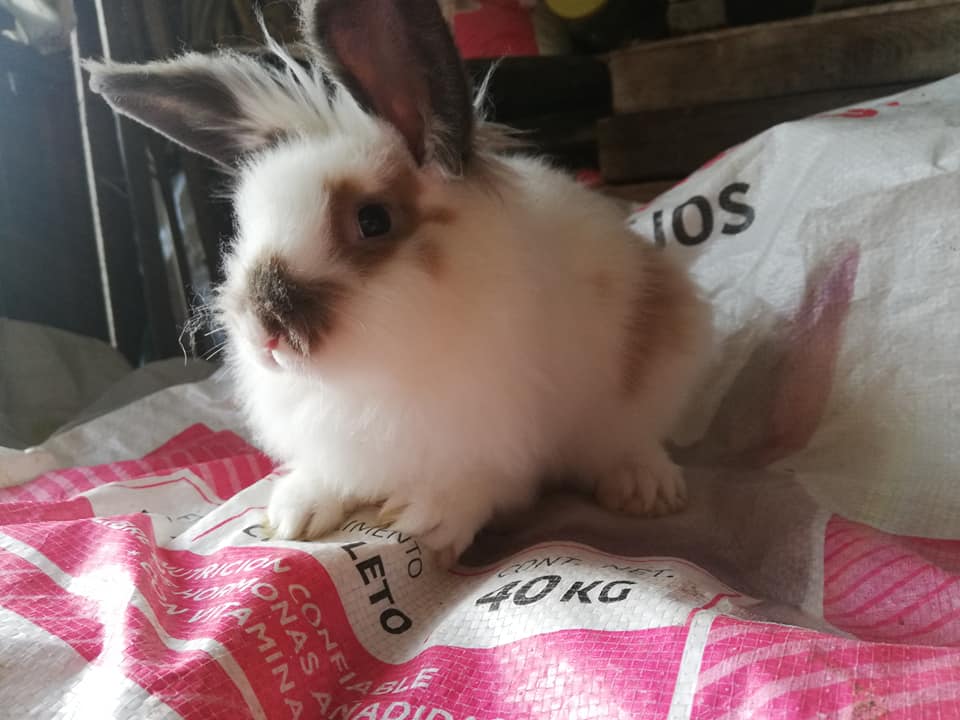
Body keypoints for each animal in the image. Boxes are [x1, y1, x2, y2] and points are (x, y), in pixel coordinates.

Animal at [85, 0, 711, 566]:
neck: (365, 374)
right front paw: (293, 513)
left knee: (636, 435)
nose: (263, 329)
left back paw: (647, 488)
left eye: (373, 221)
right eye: (242, 223)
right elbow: (328, 474)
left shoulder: (496, 444)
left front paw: (423, 521)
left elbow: (474, 487)